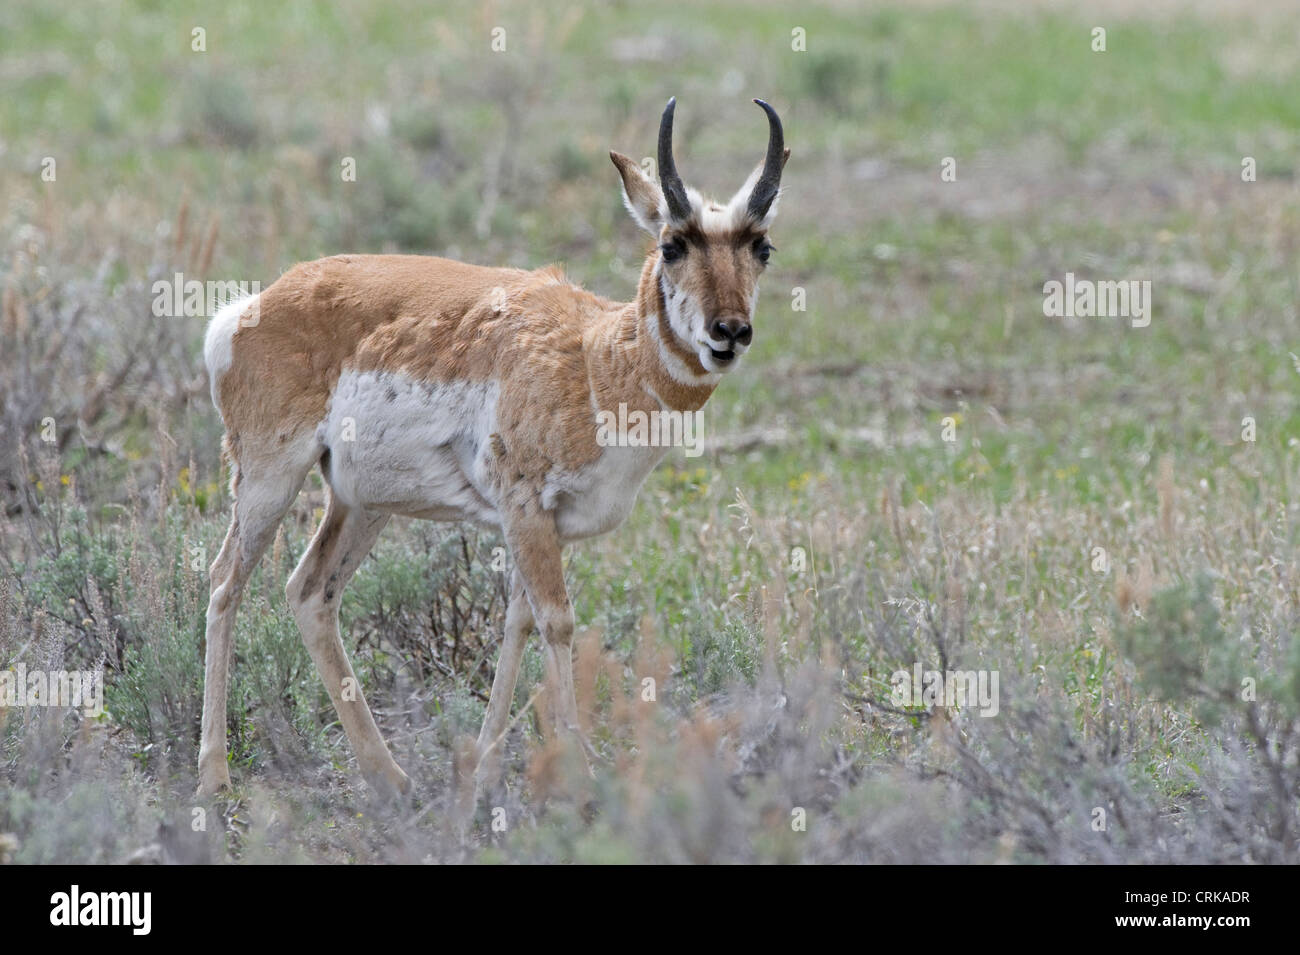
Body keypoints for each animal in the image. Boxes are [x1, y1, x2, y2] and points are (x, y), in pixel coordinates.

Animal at [197, 98, 789, 804]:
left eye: (762, 247)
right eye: (672, 245)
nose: (731, 332)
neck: (593, 355)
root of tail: (254, 305)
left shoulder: (540, 526)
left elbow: (518, 624)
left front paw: (480, 771)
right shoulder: (525, 511)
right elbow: (558, 622)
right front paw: (582, 778)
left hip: (359, 504)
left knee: (309, 593)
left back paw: (389, 776)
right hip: (268, 481)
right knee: (224, 583)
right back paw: (213, 777)